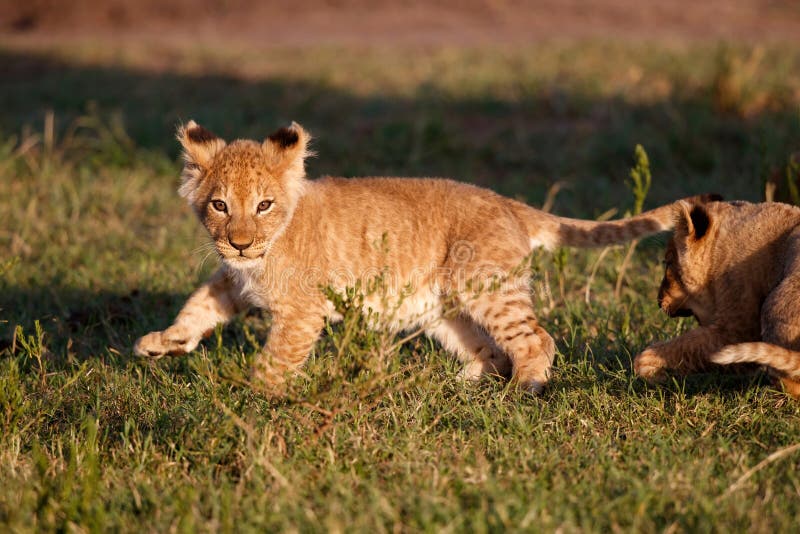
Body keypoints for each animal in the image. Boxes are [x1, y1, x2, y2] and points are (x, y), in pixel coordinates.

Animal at [135, 120, 708, 395]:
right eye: (220, 205)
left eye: (264, 204)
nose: (239, 241)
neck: (266, 248)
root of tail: (510, 203)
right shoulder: (232, 280)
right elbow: (197, 305)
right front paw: (162, 343)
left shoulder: (302, 310)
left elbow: (277, 358)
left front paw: (255, 398)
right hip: (444, 310)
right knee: (490, 350)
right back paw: (461, 384)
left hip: (486, 286)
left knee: (535, 338)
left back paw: (524, 388)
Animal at [634, 198, 800, 397]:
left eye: (668, 263)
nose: (658, 301)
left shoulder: (737, 330)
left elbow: (686, 347)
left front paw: (647, 363)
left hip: (774, 304)